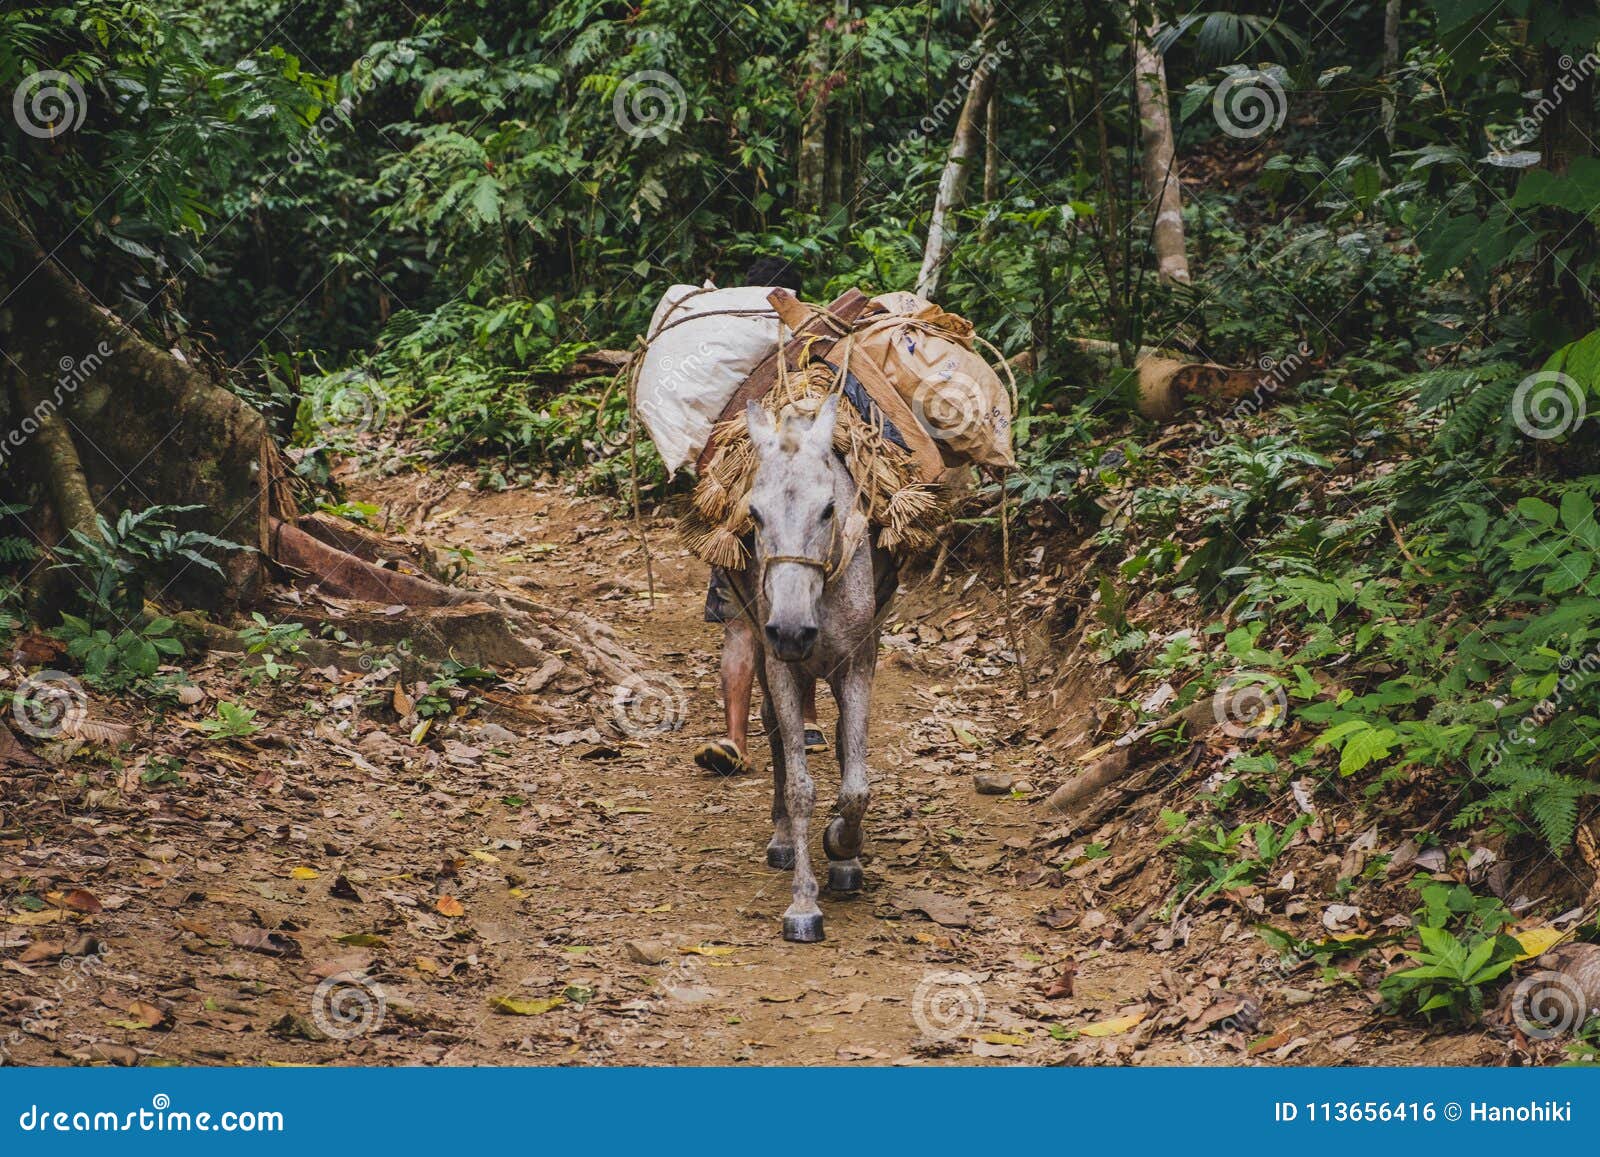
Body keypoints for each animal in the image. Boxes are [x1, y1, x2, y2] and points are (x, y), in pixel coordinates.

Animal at [731, 393, 896, 942]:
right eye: (754, 514)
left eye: (828, 510)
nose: (790, 630)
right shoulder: (781, 665)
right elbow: (801, 786)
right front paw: (803, 902)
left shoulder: (858, 663)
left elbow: (856, 784)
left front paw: (843, 847)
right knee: (775, 734)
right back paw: (783, 838)